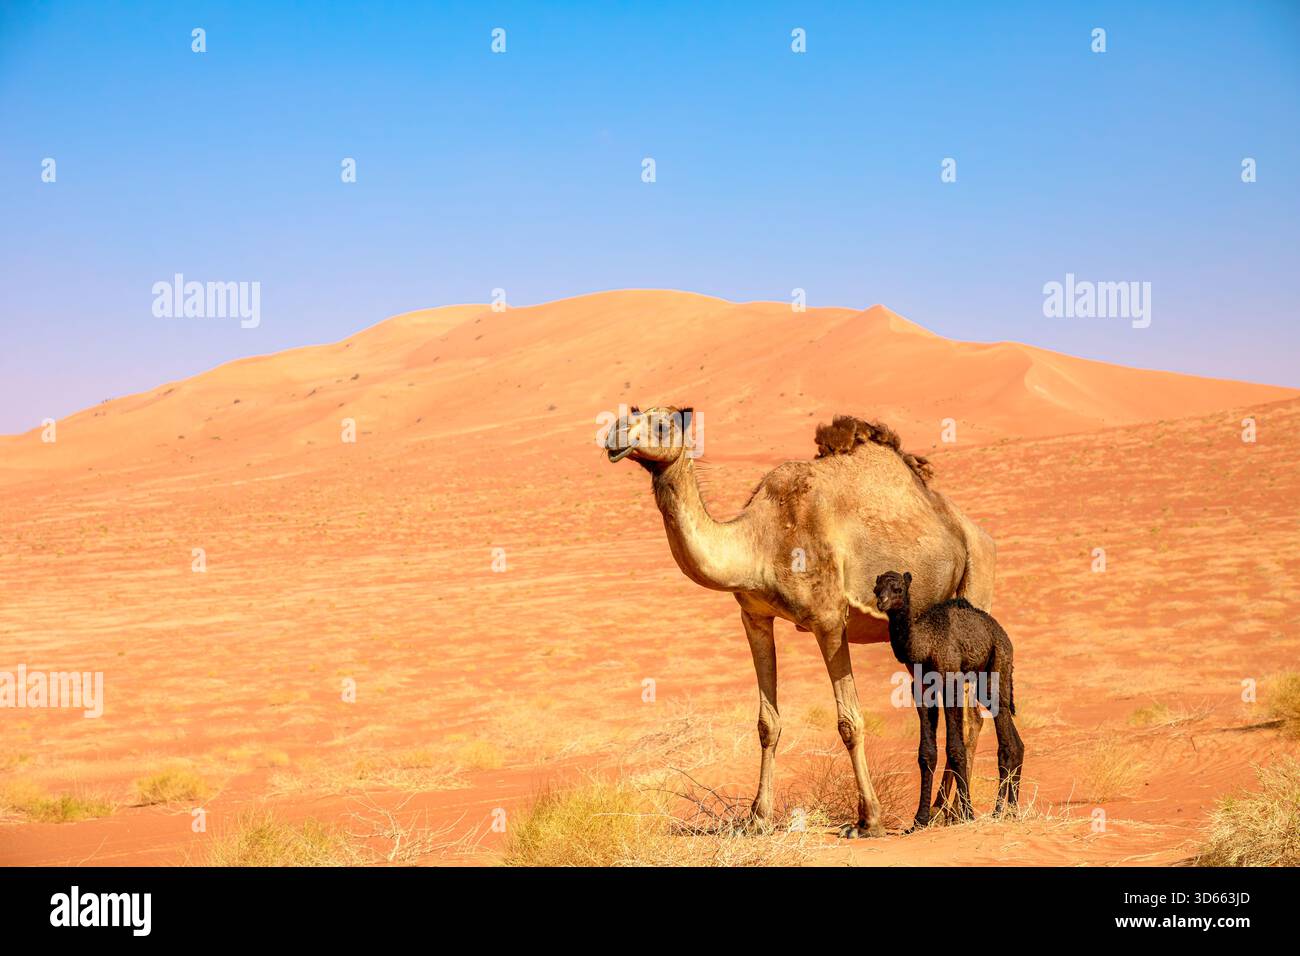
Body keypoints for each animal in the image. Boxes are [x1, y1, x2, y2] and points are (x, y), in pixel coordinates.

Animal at [604, 406, 996, 836]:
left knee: (970, 714)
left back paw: (953, 812)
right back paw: (943, 812)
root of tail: (972, 530)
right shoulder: (754, 616)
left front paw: (868, 821)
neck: (760, 541)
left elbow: (849, 721)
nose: (614, 435)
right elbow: (767, 723)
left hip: (976, 582)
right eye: (630, 413)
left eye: (662, 424)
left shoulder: (829, 619)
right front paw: (758, 818)